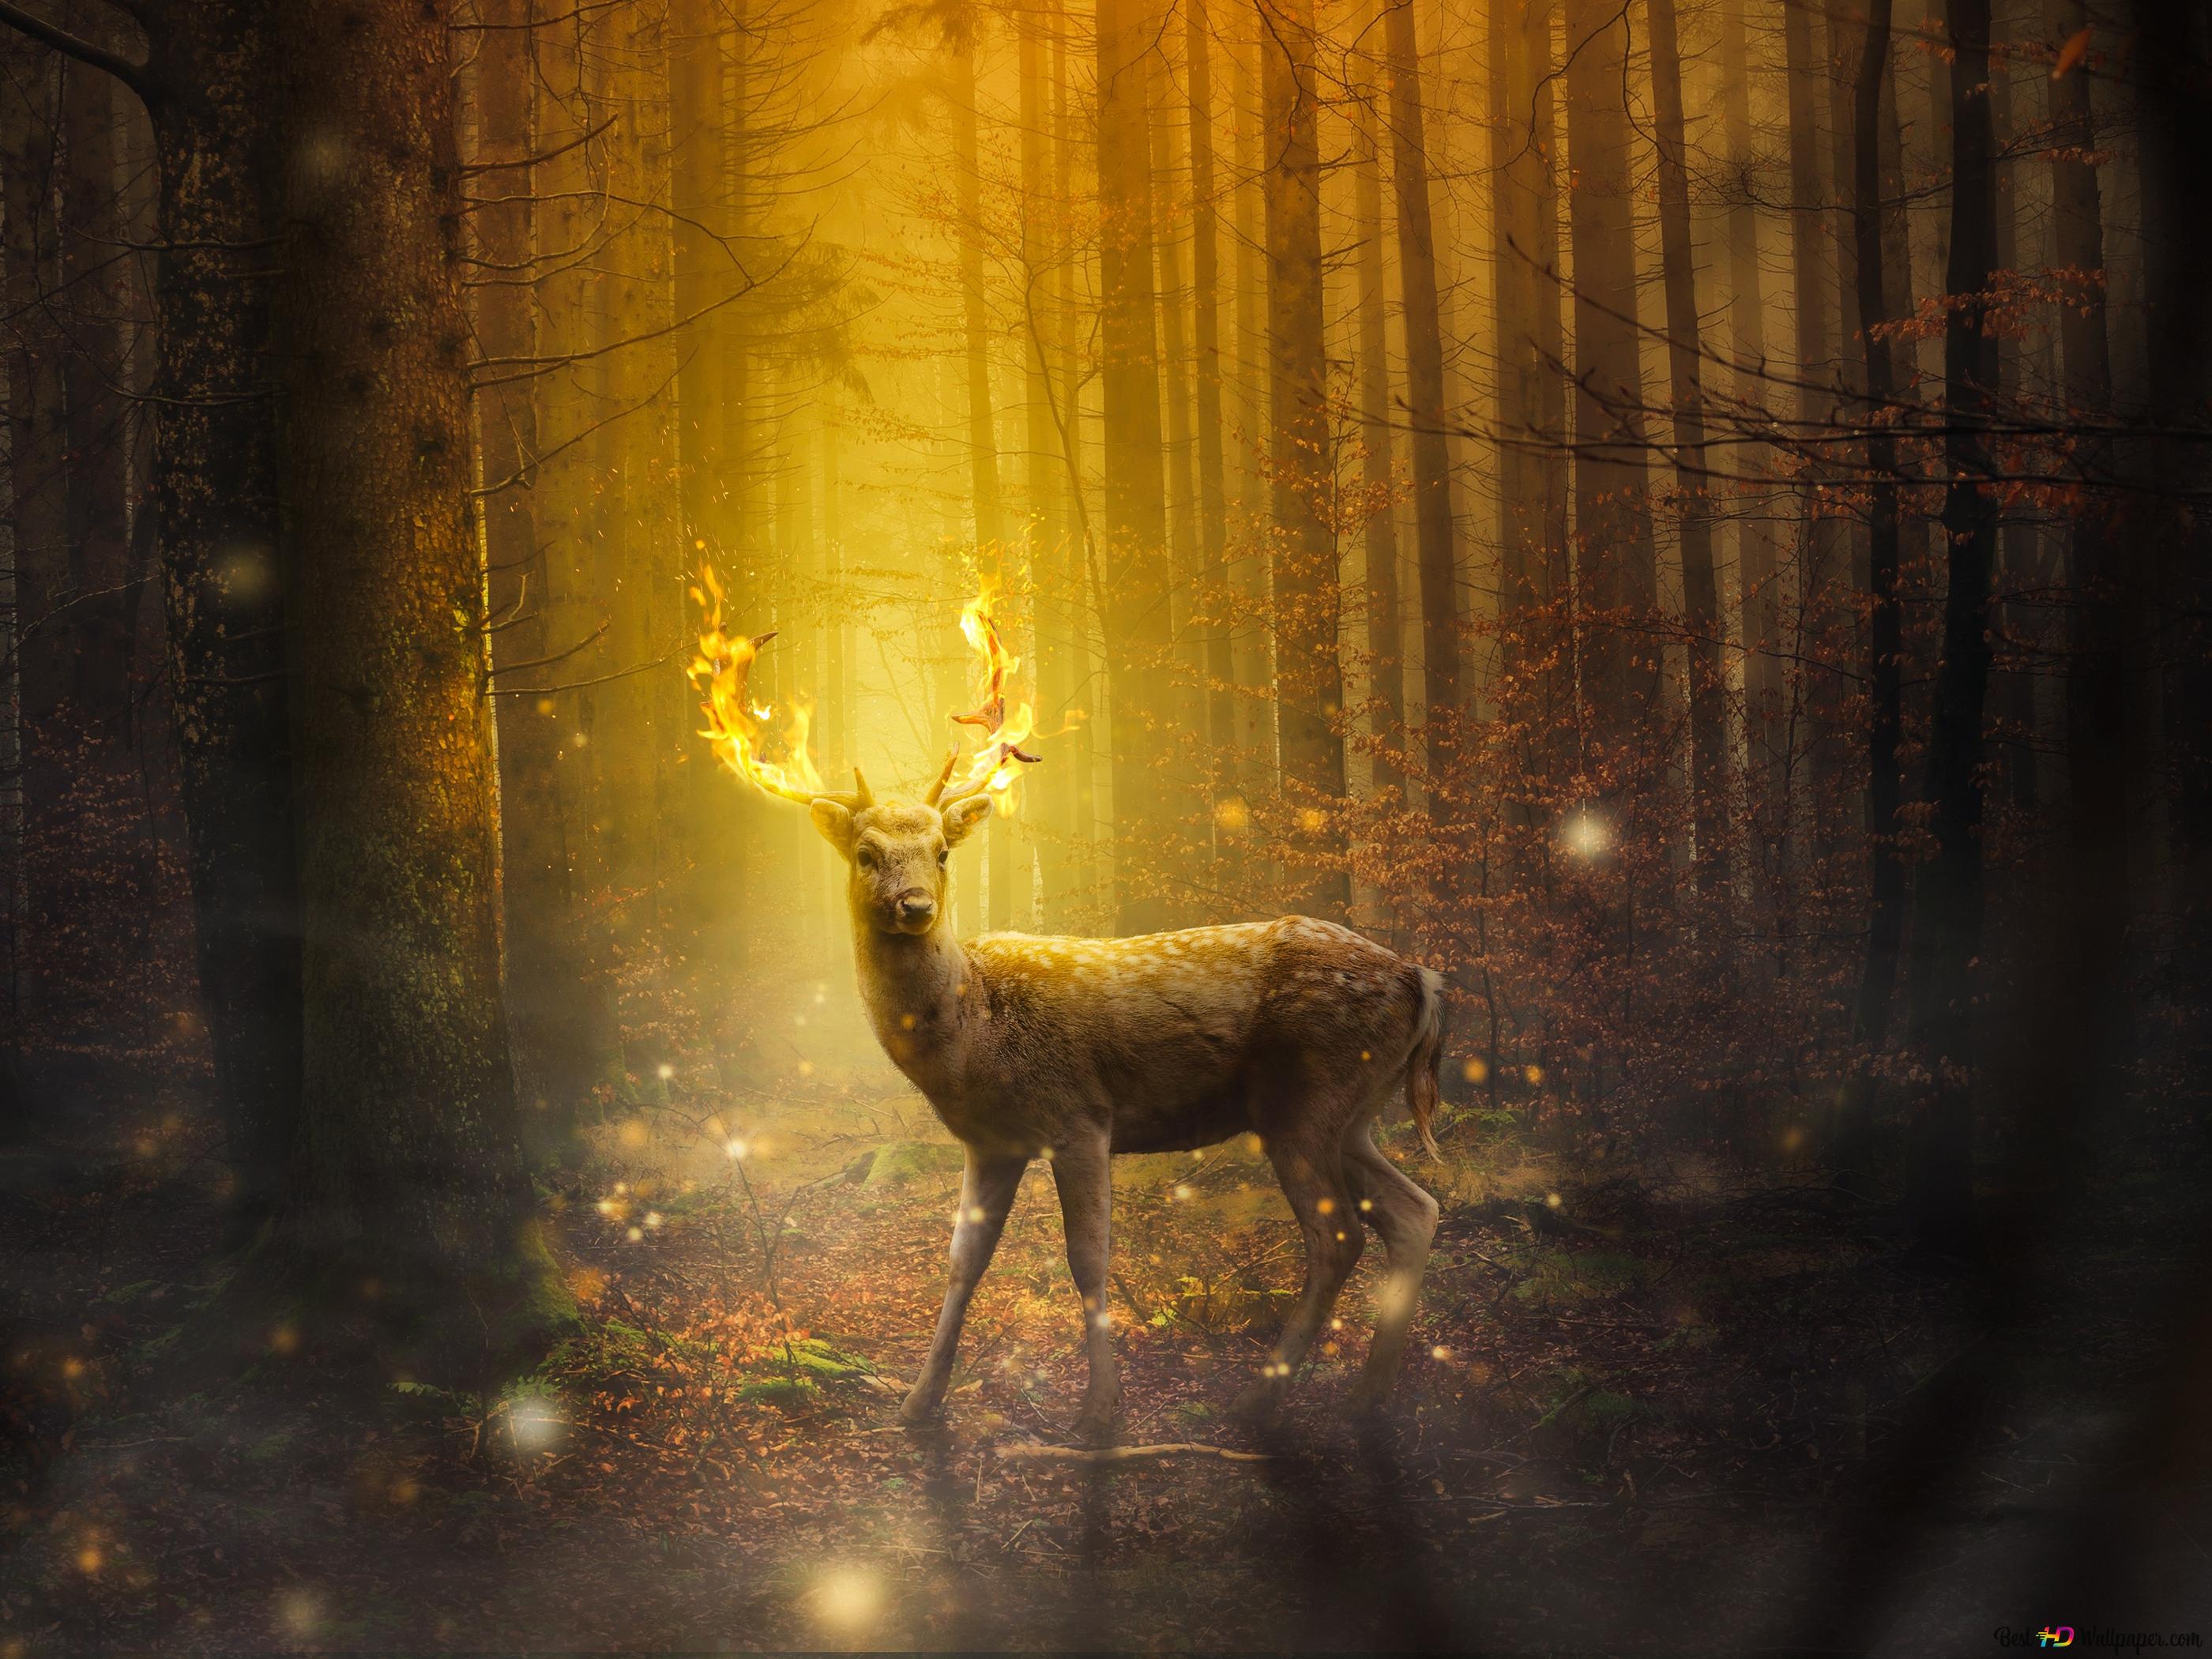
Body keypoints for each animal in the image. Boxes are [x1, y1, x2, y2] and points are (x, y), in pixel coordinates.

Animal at [687, 581, 1446, 1445]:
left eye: (941, 853)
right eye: (866, 855)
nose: (915, 906)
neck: (972, 1037)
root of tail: (1421, 977)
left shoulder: (1079, 1115)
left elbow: (1088, 1256)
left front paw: (1100, 1414)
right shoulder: (990, 1142)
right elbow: (962, 1262)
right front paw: (917, 1405)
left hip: (1306, 1097)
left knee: (1338, 1235)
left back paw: (1258, 1403)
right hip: (1353, 1111)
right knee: (1415, 1210)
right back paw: (1366, 1401)